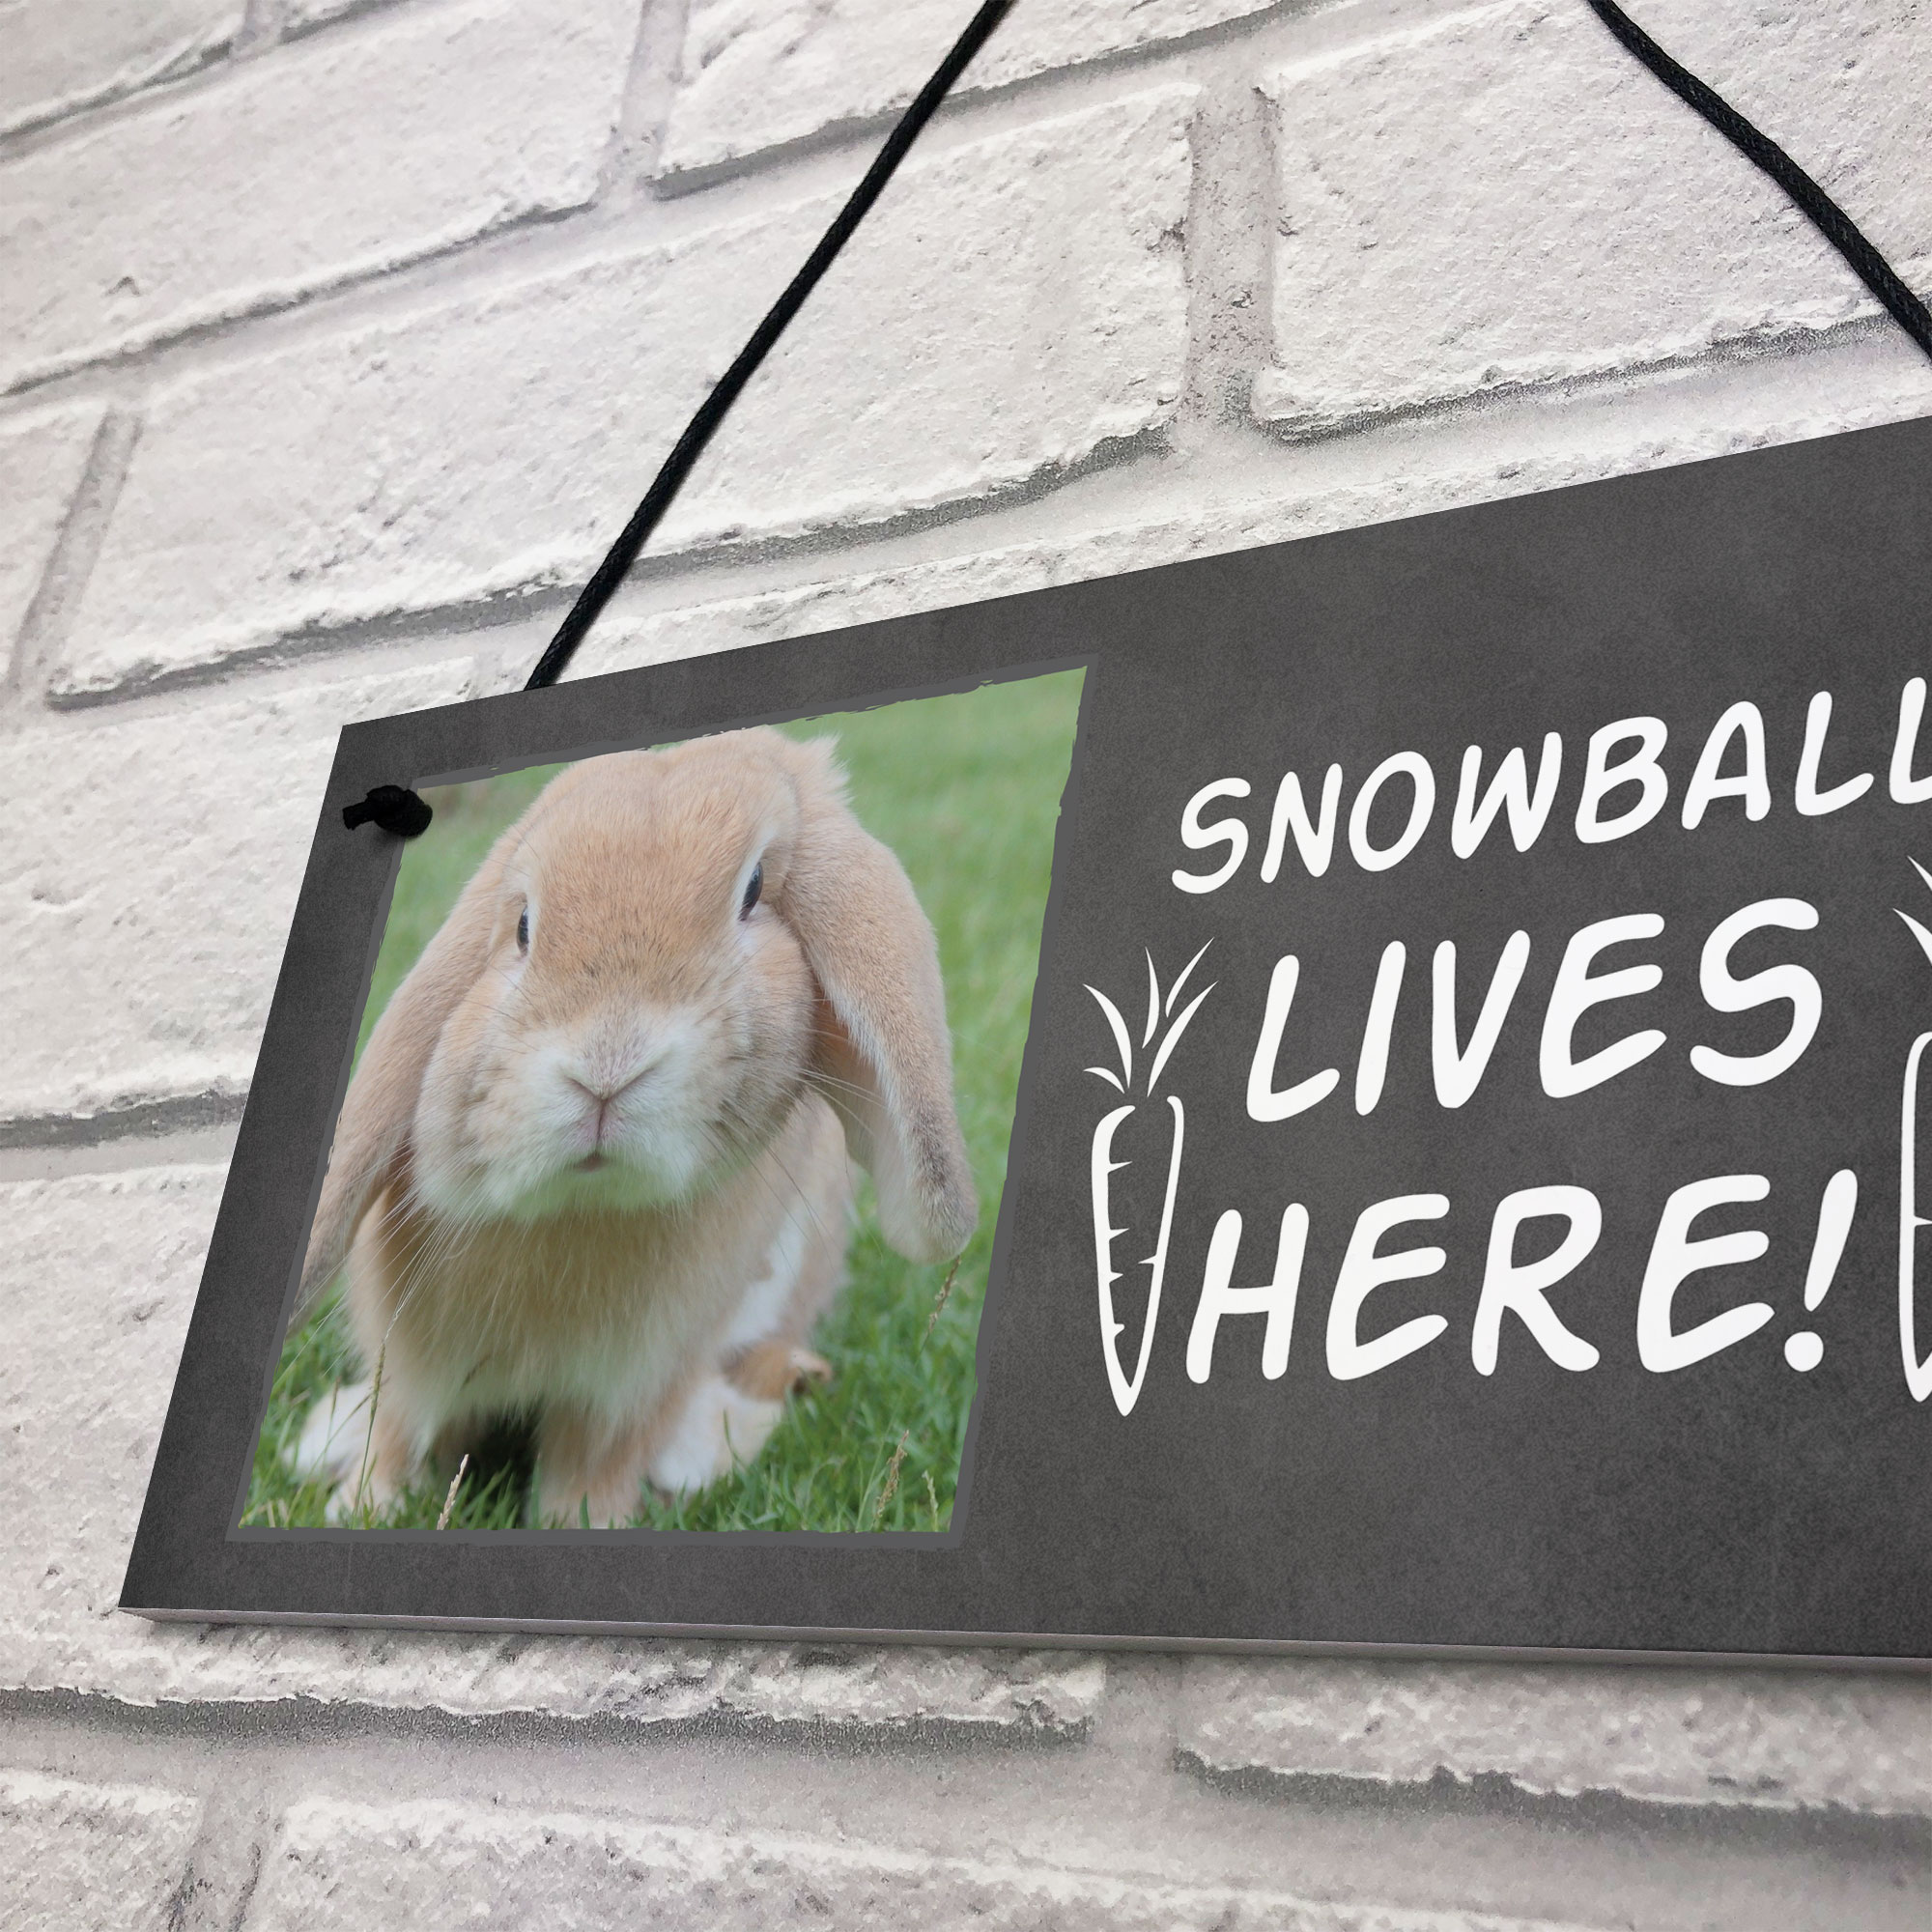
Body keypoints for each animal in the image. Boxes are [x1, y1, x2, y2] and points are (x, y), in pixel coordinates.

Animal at [288, 726, 977, 1526]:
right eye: (523, 925)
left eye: (753, 893)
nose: (604, 1069)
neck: (579, 1207)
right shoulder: (411, 1362)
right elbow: (398, 1432)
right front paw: (361, 1509)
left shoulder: (636, 1383)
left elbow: (595, 1466)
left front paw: (579, 1525)